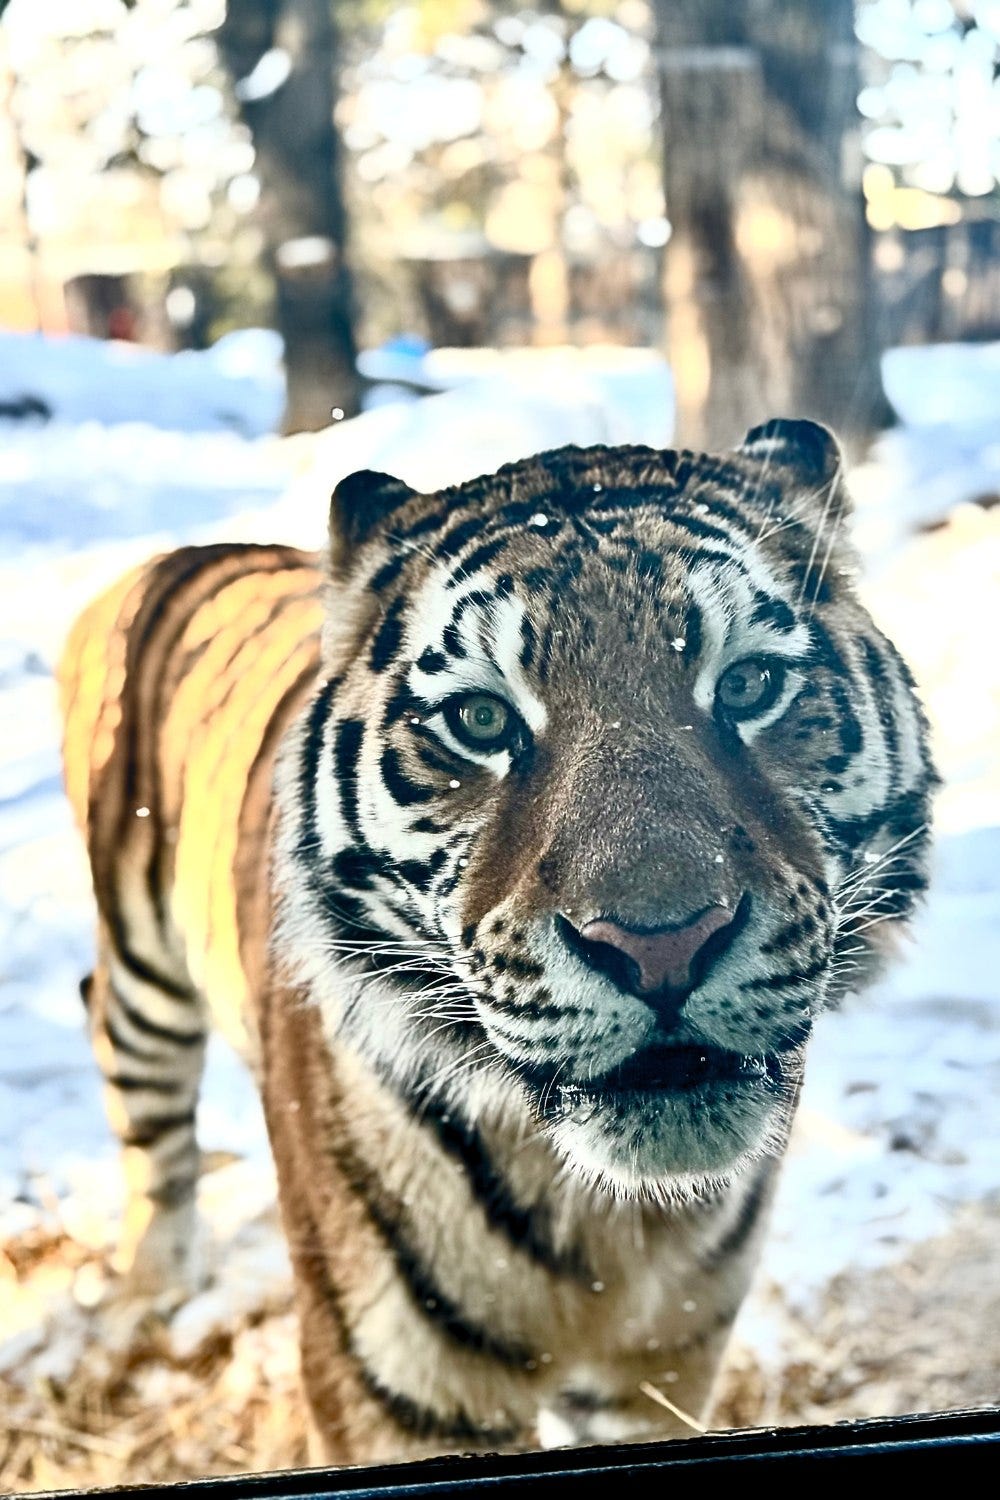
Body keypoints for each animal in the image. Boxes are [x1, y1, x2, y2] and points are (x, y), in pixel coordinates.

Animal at [59, 419, 936, 1465]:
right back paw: (147, 1304)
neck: (609, 1225)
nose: (663, 944)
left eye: (750, 683)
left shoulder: (667, 1370)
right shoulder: (394, 1397)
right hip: (141, 976)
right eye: (481, 719)